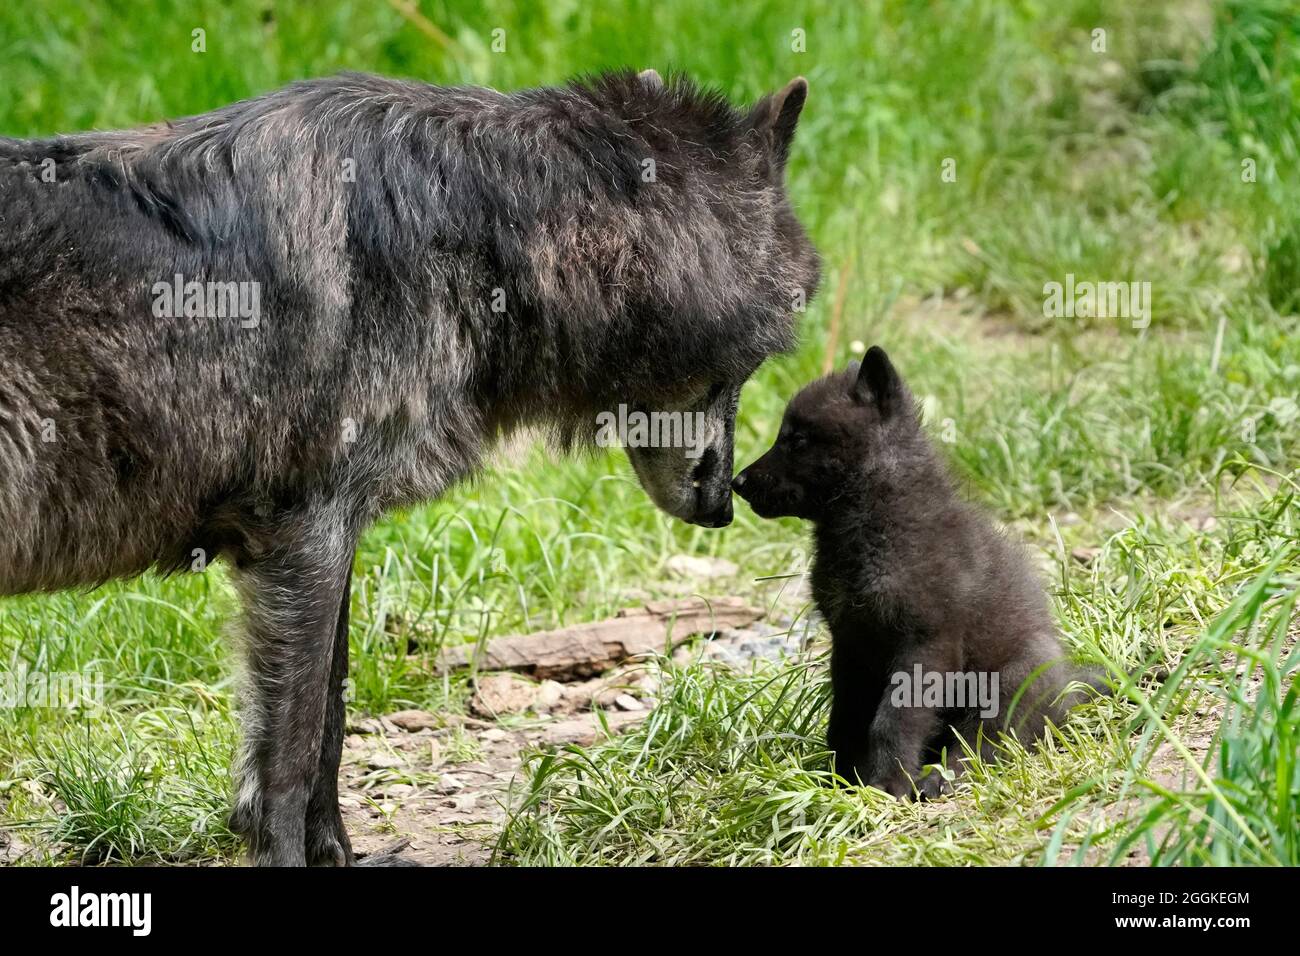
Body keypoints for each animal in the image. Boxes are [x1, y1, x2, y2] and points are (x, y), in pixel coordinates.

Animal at [0, 69, 820, 863]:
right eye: (751, 358)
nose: (723, 503)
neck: (482, 230)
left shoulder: (328, 539)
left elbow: (331, 723)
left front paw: (336, 853)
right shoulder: (305, 535)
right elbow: (291, 756)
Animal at [732, 347, 1104, 798]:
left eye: (797, 439)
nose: (737, 482)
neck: (869, 522)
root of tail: (1070, 693)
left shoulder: (926, 643)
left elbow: (893, 721)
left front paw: (888, 783)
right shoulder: (850, 643)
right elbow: (845, 721)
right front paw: (839, 781)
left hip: (1014, 676)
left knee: (989, 742)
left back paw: (940, 777)